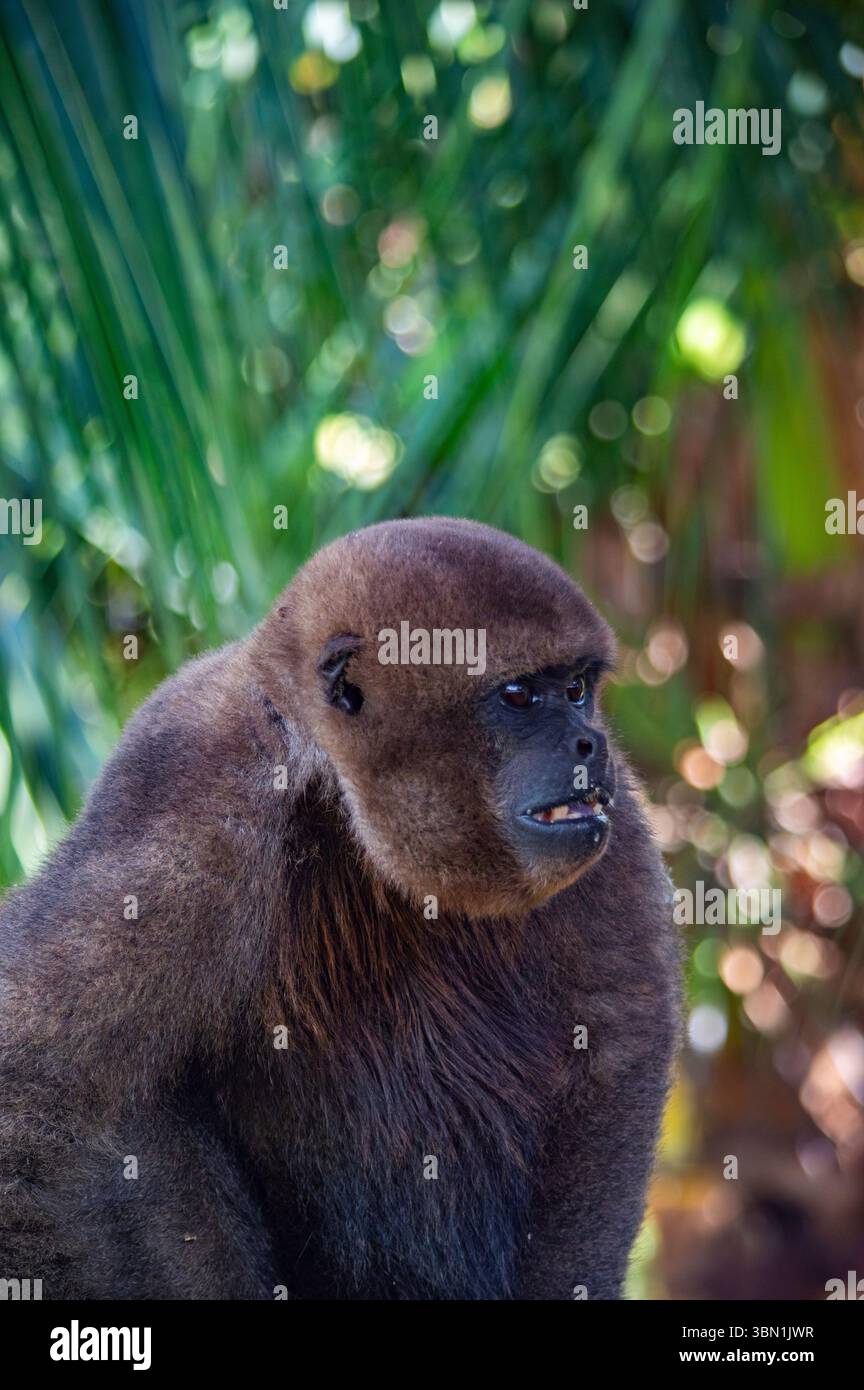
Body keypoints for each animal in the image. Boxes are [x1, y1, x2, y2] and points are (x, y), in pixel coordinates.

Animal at [0, 517, 680, 1300]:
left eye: (575, 689)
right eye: (517, 696)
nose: (589, 744)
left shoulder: (619, 834)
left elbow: (616, 1057)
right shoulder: (198, 778)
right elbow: (39, 1081)